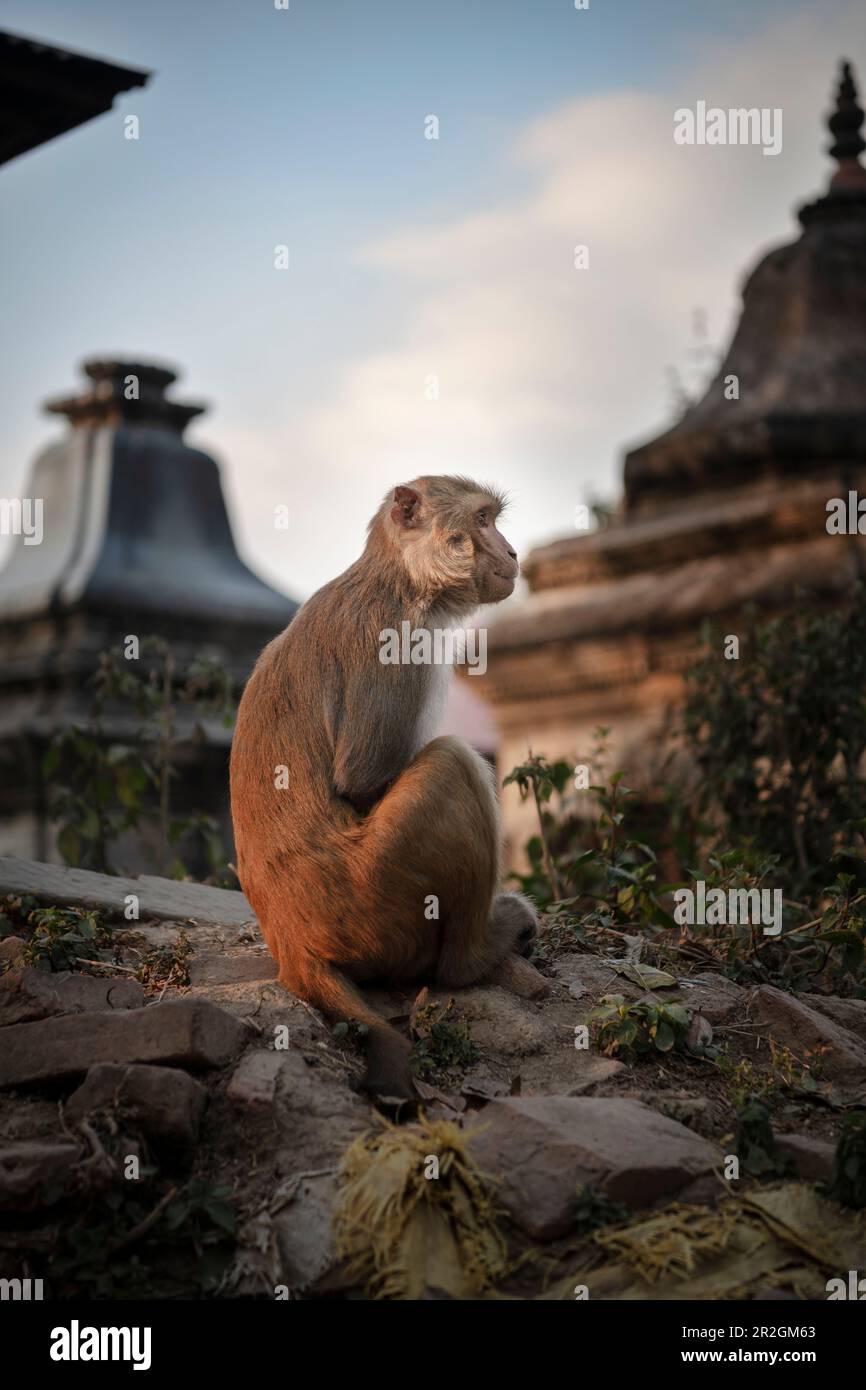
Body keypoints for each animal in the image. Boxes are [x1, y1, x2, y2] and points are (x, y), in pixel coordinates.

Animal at [229, 476, 543, 1099]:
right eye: (483, 520)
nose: (513, 552)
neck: (398, 579)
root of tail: (292, 947)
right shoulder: (397, 637)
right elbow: (361, 775)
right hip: (379, 898)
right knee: (451, 763)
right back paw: (474, 957)